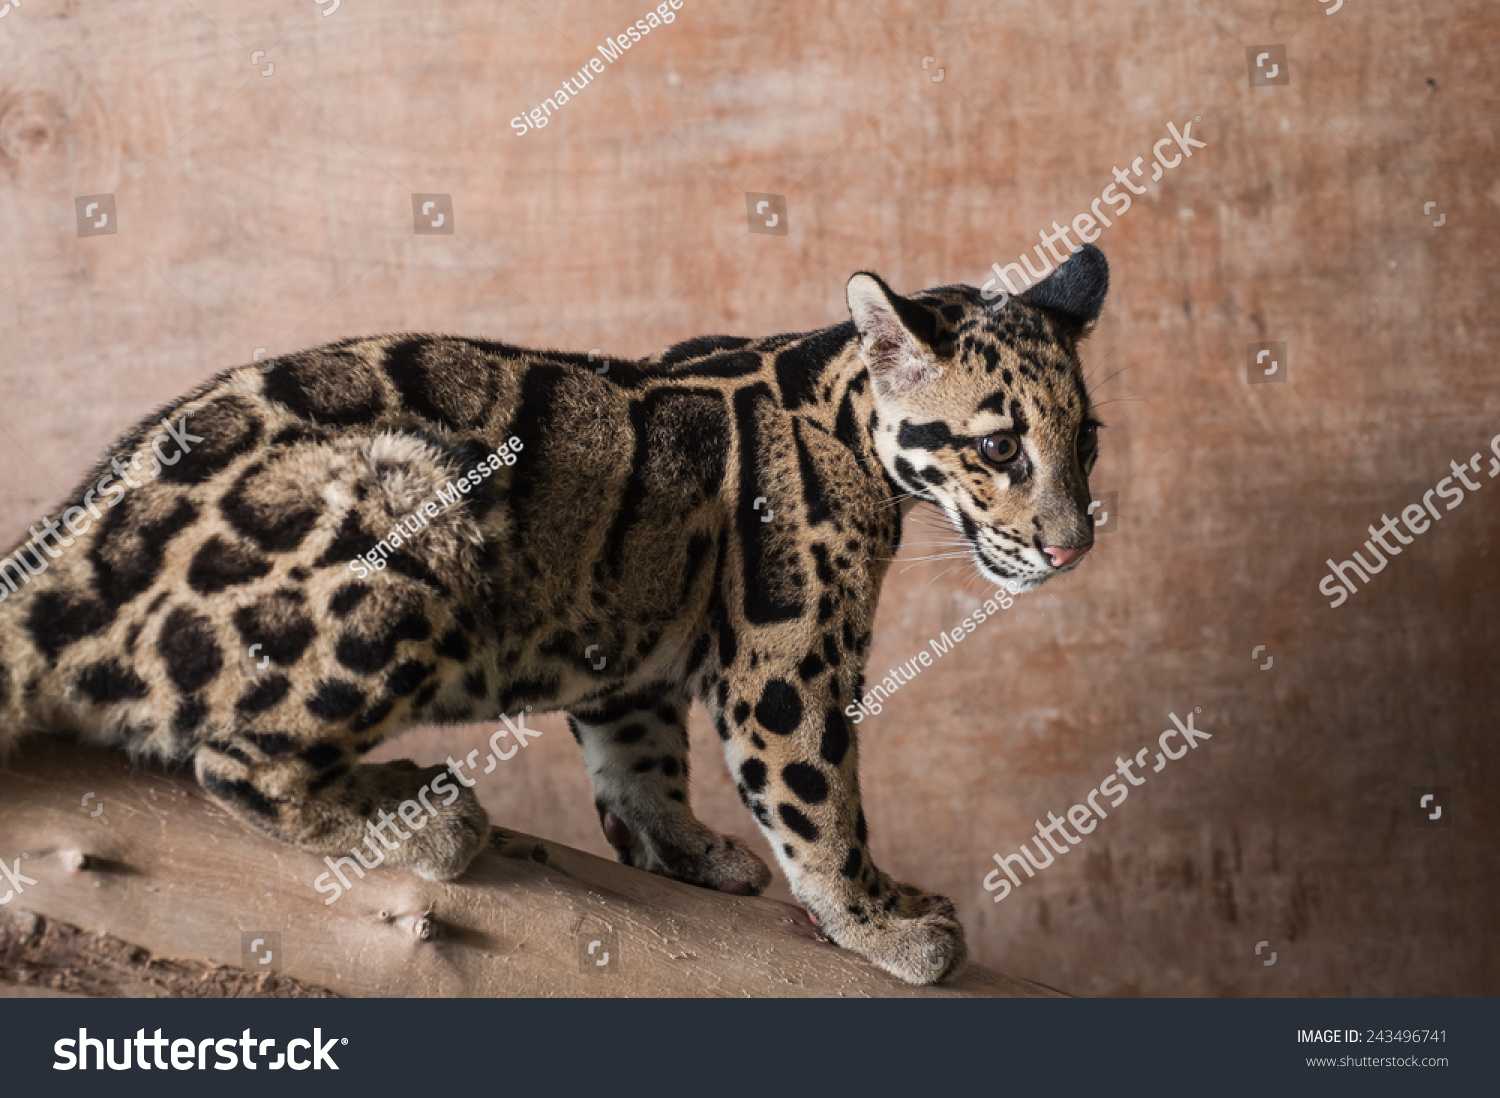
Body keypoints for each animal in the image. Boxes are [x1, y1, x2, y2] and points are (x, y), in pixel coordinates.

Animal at [0, 243, 1107, 986]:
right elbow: (818, 799)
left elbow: (640, 759)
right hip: (409, 498)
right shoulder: (786, 667)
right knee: (237, 762)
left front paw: (678, 845)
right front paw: (882, 923)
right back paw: (415, 819)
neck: (845, 407)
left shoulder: (631, 644)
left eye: (1088, 440)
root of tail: (43, 566)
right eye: (1000, 447)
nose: (1074, 546)